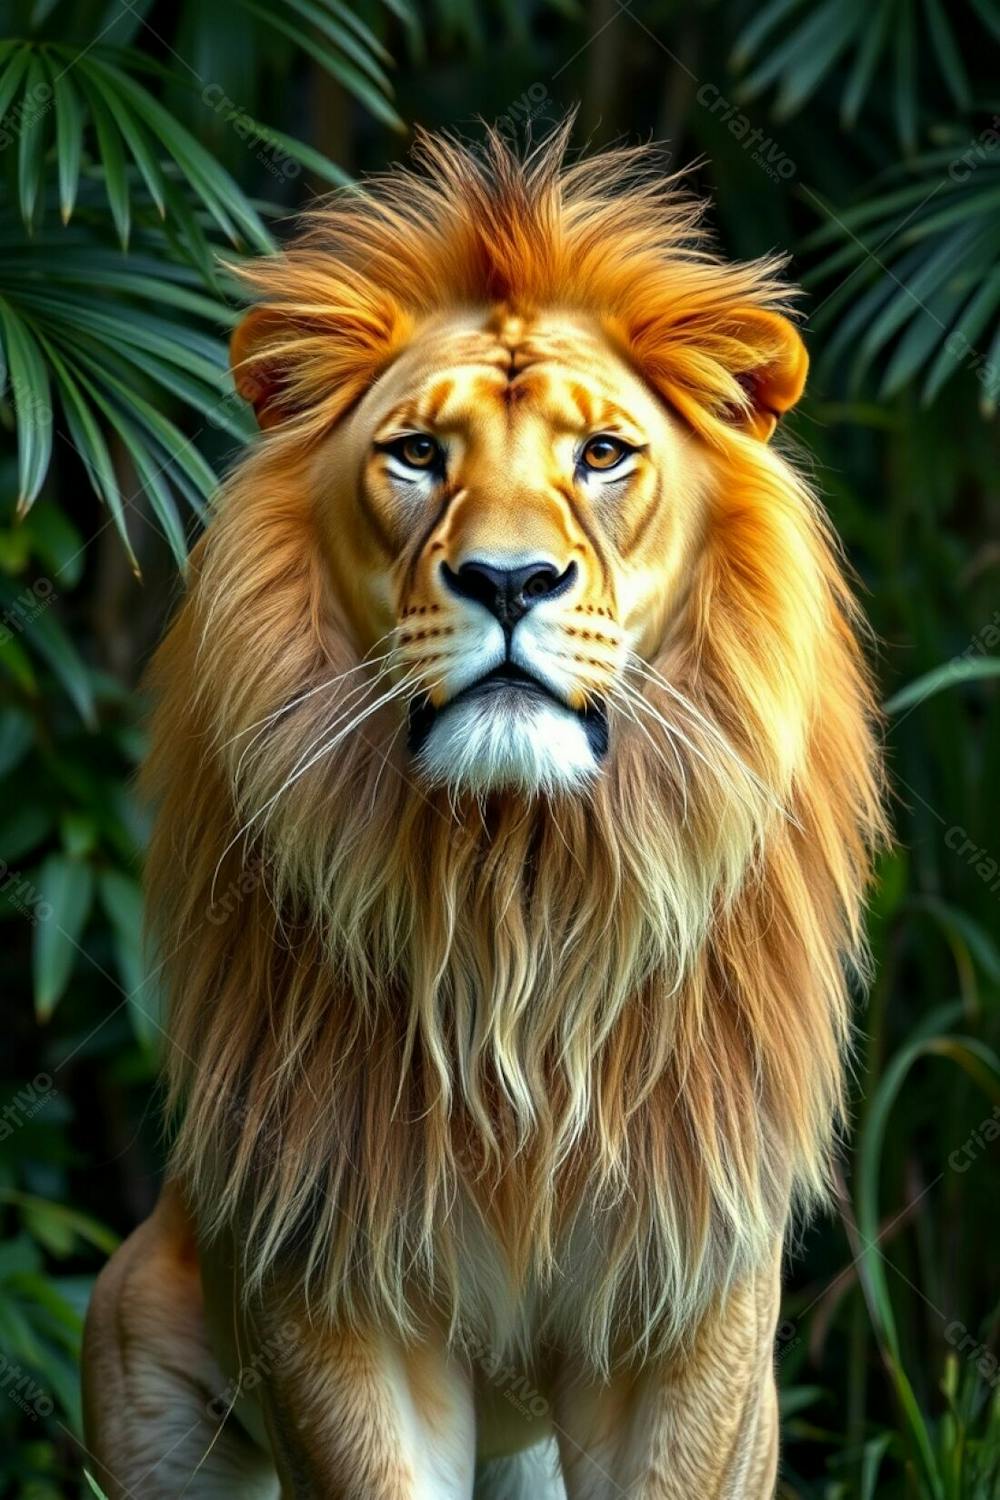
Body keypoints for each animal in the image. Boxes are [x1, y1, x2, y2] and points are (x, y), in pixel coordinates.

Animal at [82, 125, 883, 1498]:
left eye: (602, 455)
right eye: (417, 454)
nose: (509, 581)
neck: (518, 889)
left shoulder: (690, 1305)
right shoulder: (329, 1288)